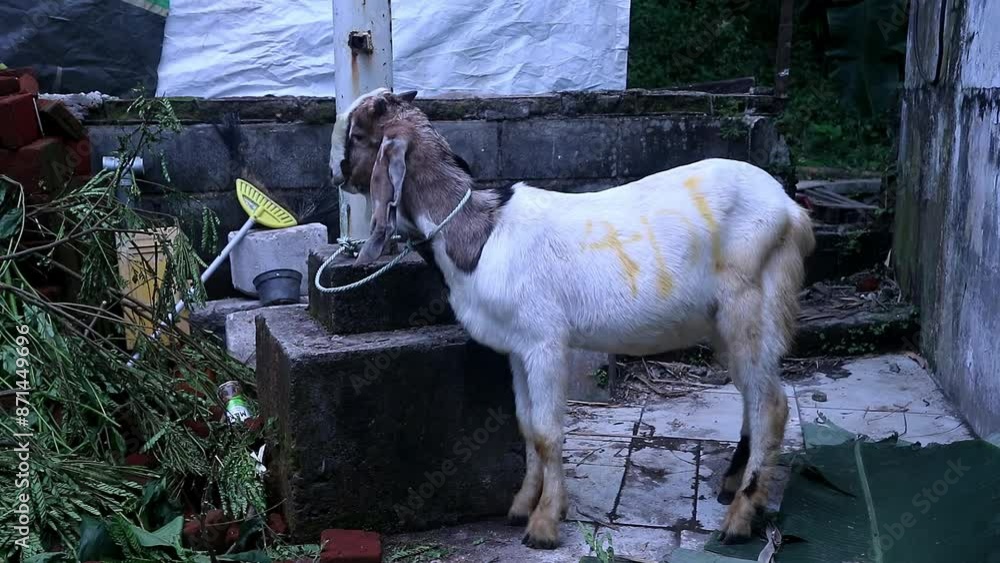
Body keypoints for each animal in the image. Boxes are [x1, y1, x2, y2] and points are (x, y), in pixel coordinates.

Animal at [329, 90, 815, 549]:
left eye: (357, 135)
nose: (335, 173)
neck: (482, 236)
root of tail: (792, 210)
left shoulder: (545, 341)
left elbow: (547, 432)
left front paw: (545, 524)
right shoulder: (518, 348)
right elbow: (526, 424)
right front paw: (522, 505)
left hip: (753, 302)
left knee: (771, 405)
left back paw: (739, 518)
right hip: (724, 322)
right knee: (752, 396)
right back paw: (731, 487)